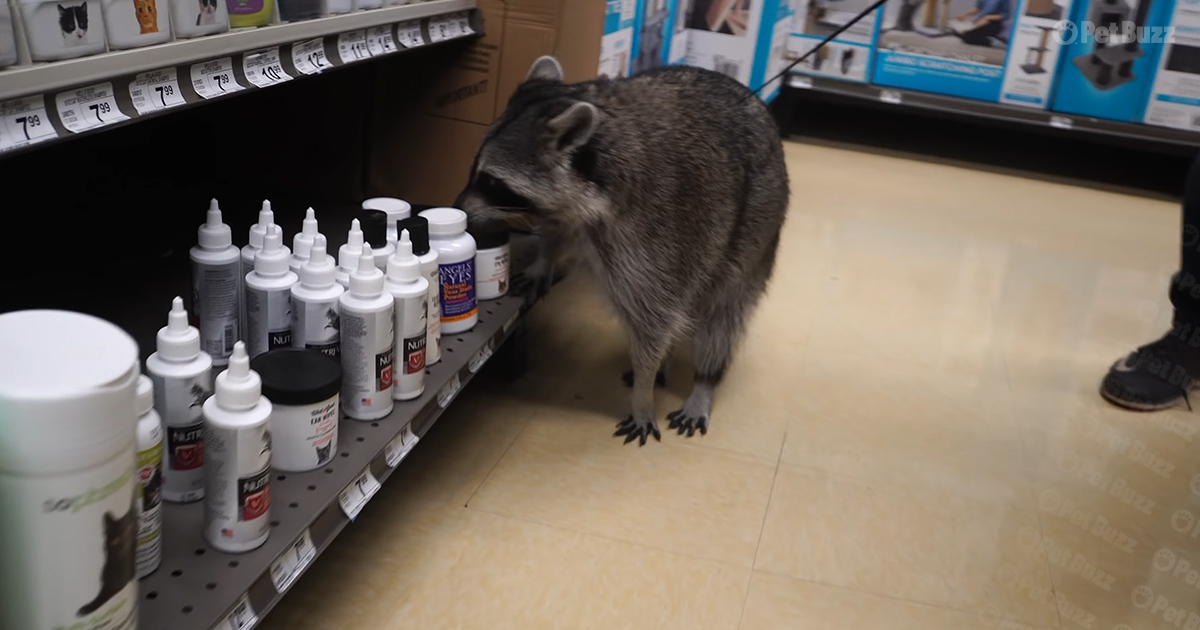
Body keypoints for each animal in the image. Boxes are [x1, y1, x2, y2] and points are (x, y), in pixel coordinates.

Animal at [454, 56, 790, 446]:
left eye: (492, 182)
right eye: (473, 167)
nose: (457, 209)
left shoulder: (654, 236)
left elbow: (655, 319)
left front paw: (643, 396)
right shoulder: (575, 211)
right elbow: (556, 226)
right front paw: (544, 259)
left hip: (756, 234)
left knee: (722, 316)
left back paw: (704, 380)